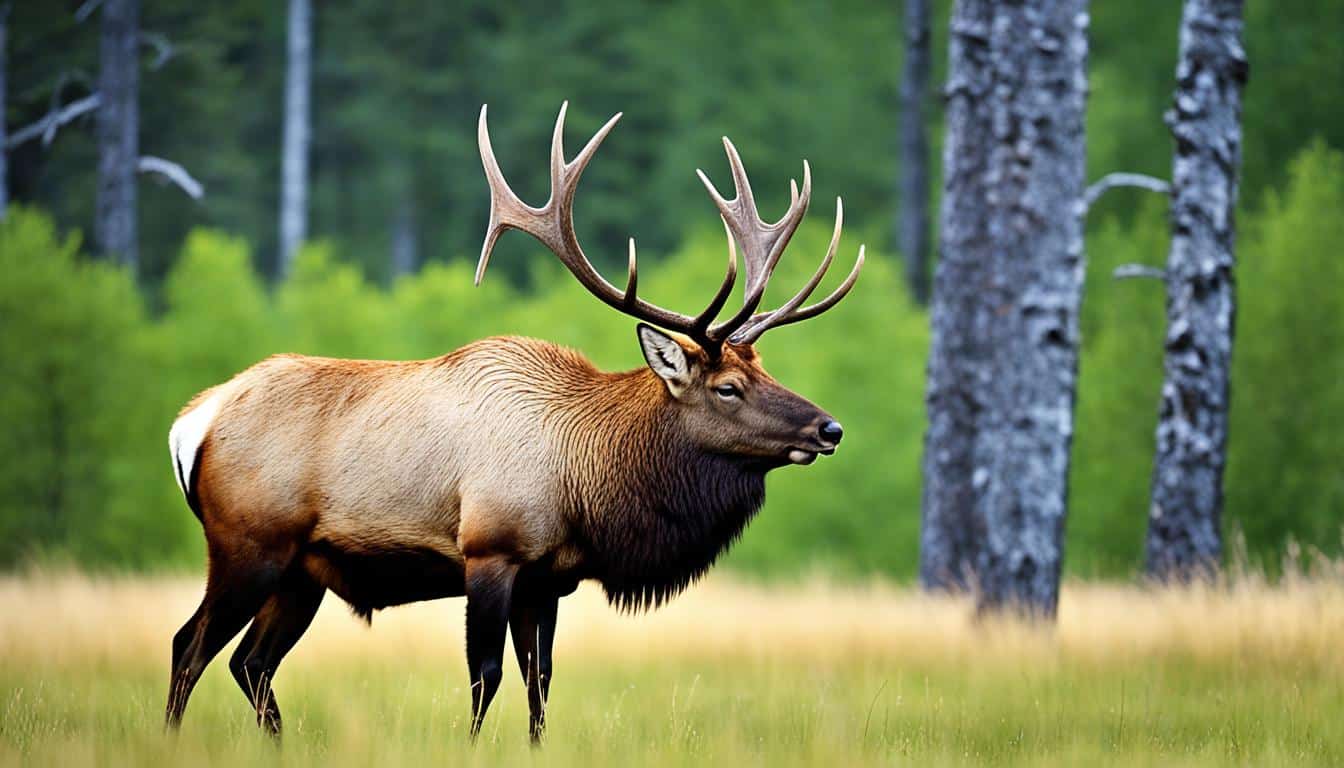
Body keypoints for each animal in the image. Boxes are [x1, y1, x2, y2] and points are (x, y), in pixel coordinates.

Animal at [164, 102, 864, 743]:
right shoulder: (489, 549)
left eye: (765, 370)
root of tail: (191, 421)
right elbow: (487, 673)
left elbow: (540, 681)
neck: (586, 481)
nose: (829, 429)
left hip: (301, 571)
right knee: (189, 646)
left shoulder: (547, 577)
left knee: (250, 663)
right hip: (247, 544)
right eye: (727, 388)